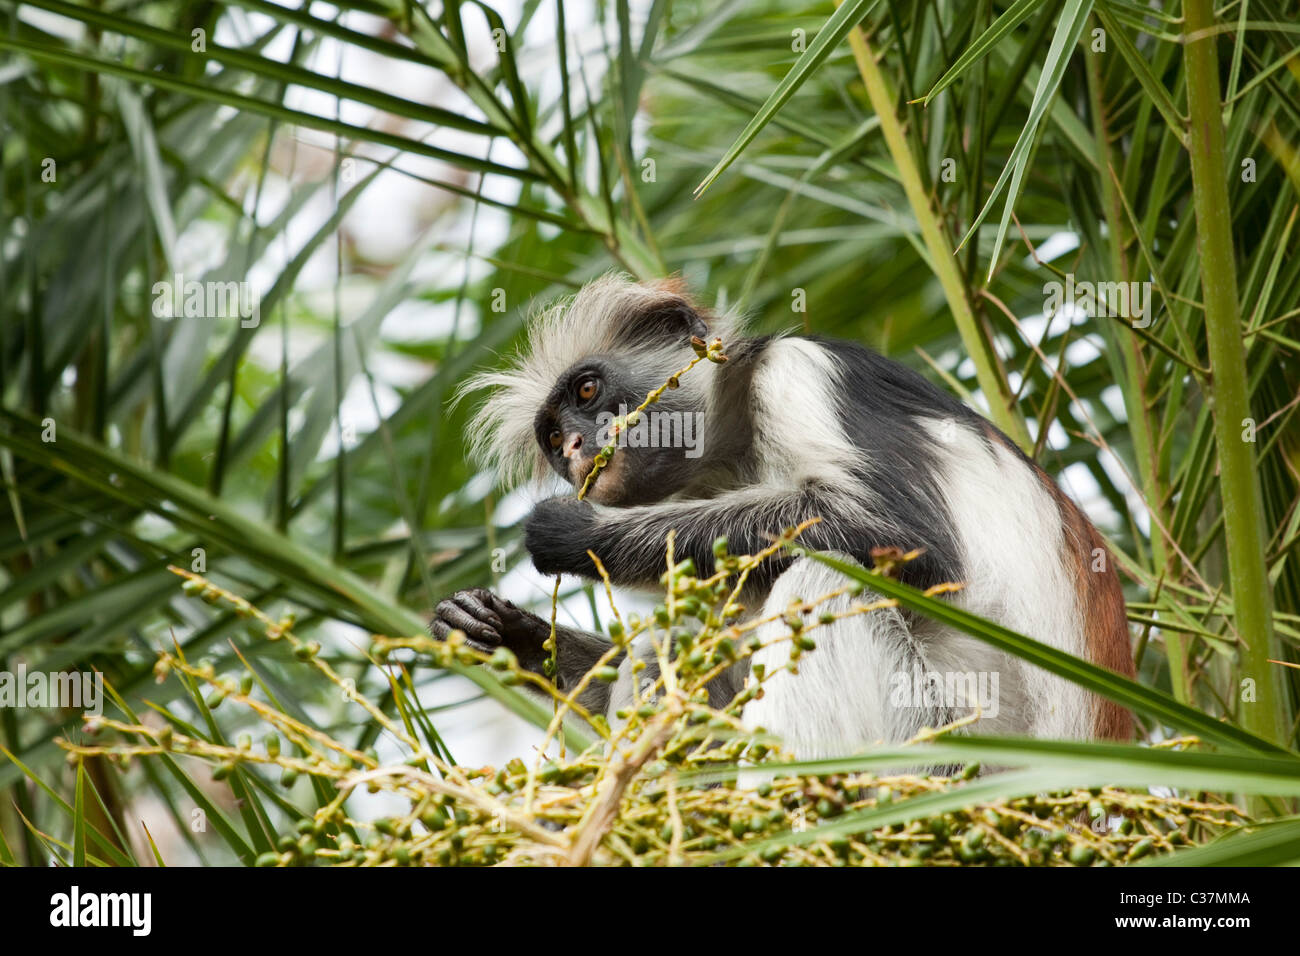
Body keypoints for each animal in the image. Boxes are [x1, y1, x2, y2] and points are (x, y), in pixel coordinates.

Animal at [431, 274, 1135, 758]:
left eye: (586, 389)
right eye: (552, 436)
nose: (576, 448)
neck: (735, 447)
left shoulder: (803, 370)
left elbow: (902, 536)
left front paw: (580, 535)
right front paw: (506, 633)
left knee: (824, 580)